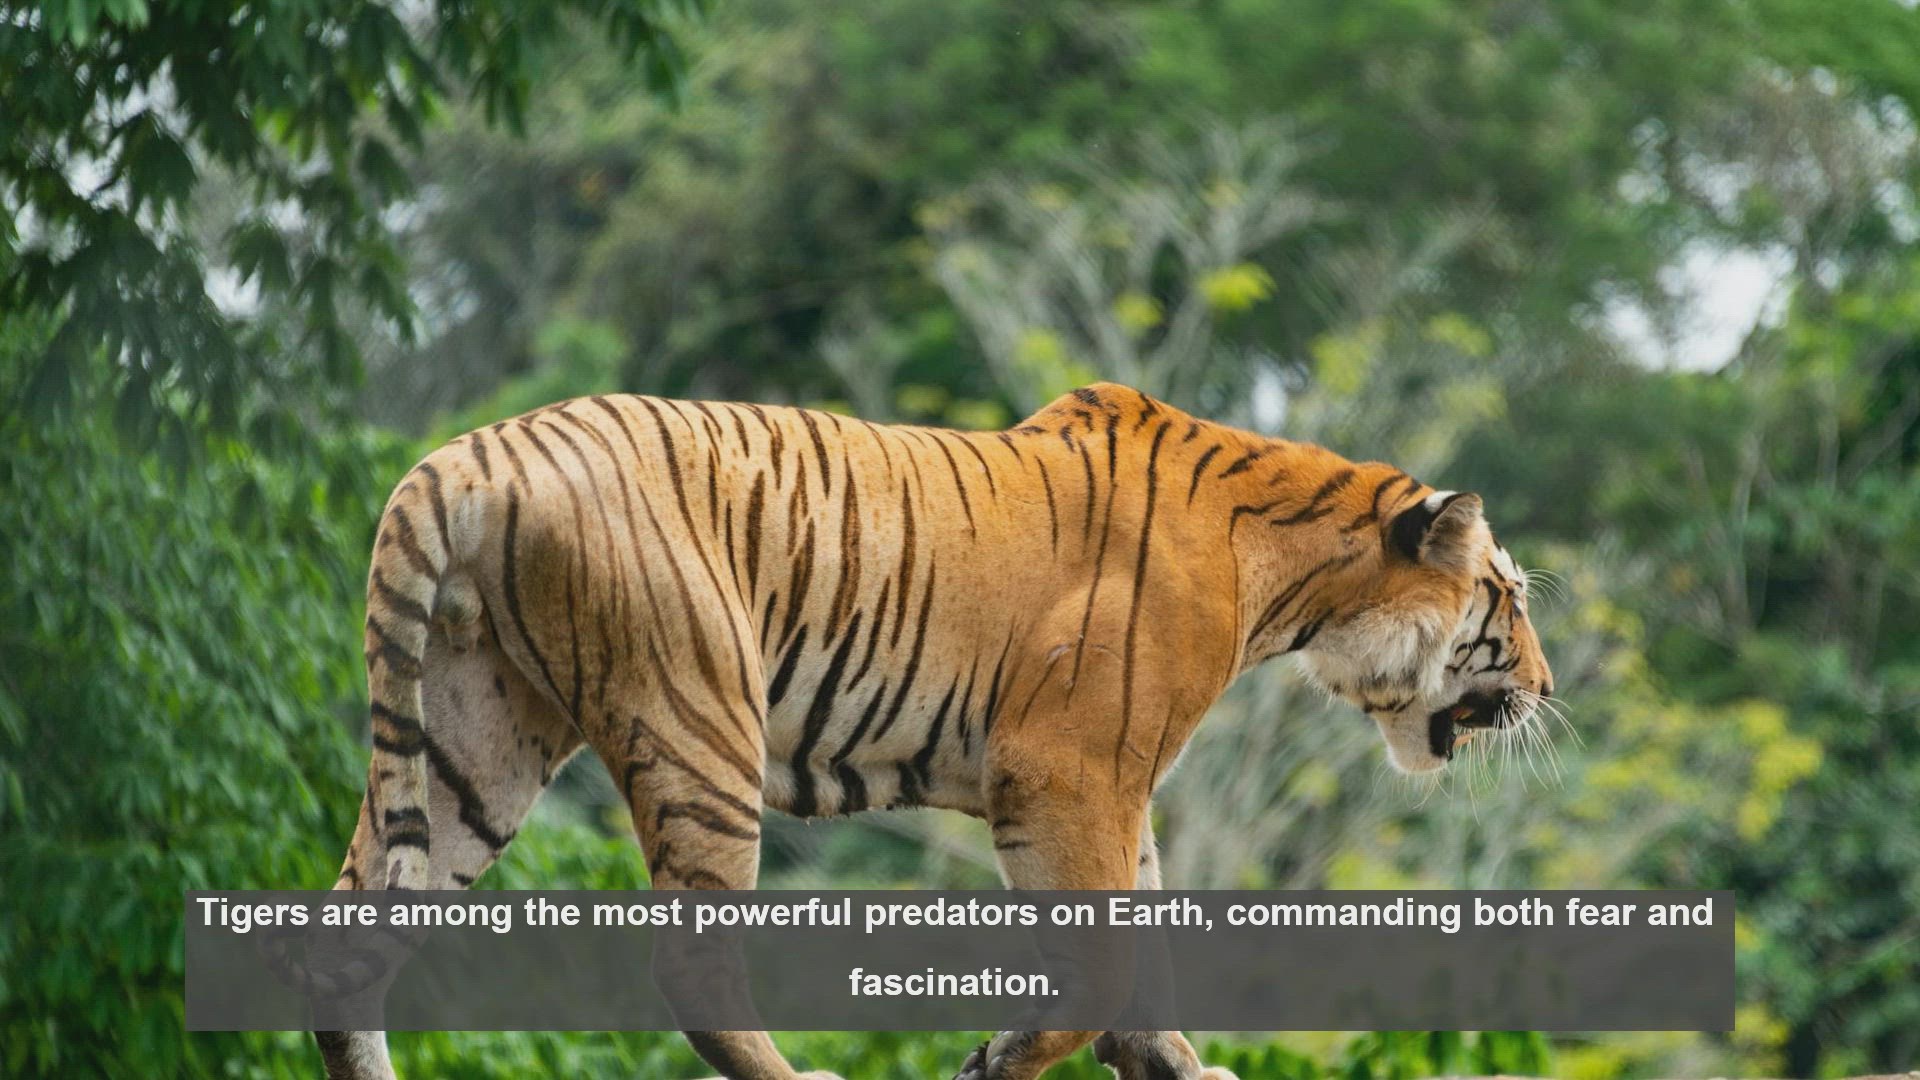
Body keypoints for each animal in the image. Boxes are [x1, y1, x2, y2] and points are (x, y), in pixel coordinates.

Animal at [319, 382, 1554, 1080]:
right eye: (1511, 597)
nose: (1544, 687)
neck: (1295, 577)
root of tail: (463, 457)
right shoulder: (1068, 772)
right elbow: (1106, 959)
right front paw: (998, 1060)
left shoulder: (1120, 784)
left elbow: (1146, 944)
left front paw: (1175, 1067)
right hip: (697, 712)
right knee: (689, 960)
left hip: (472, 745)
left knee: (342, 941)